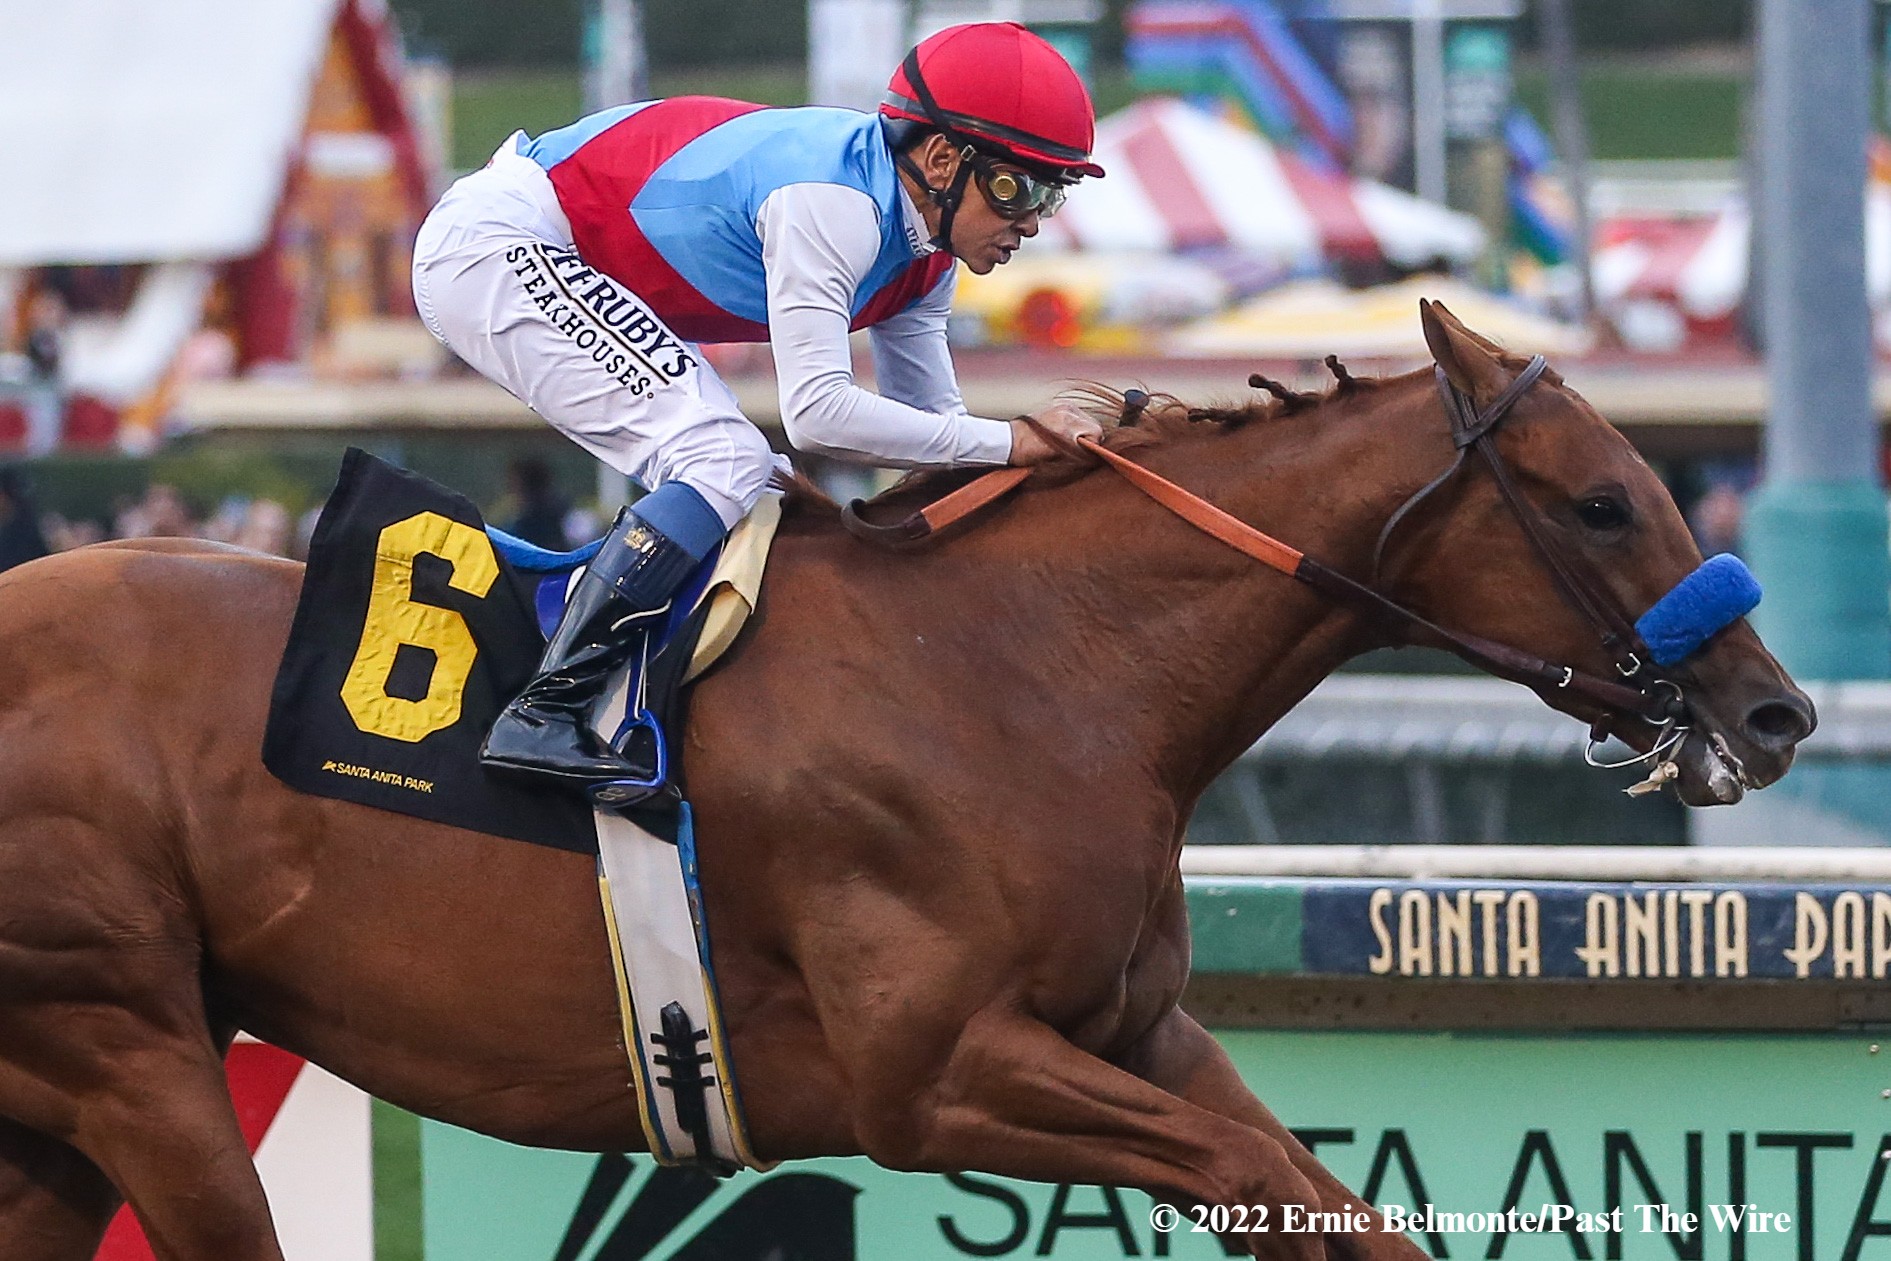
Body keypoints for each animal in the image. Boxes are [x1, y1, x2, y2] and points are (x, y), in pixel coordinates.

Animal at [0, 303, 1812, 1261]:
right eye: (1600, 502)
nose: (1779, 709)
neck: (1026, 671)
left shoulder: (1136, 1031)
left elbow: (1330, 1205)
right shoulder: (932, 1077)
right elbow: (1239, 1177)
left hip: (61, 1112)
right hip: (128, 1046)